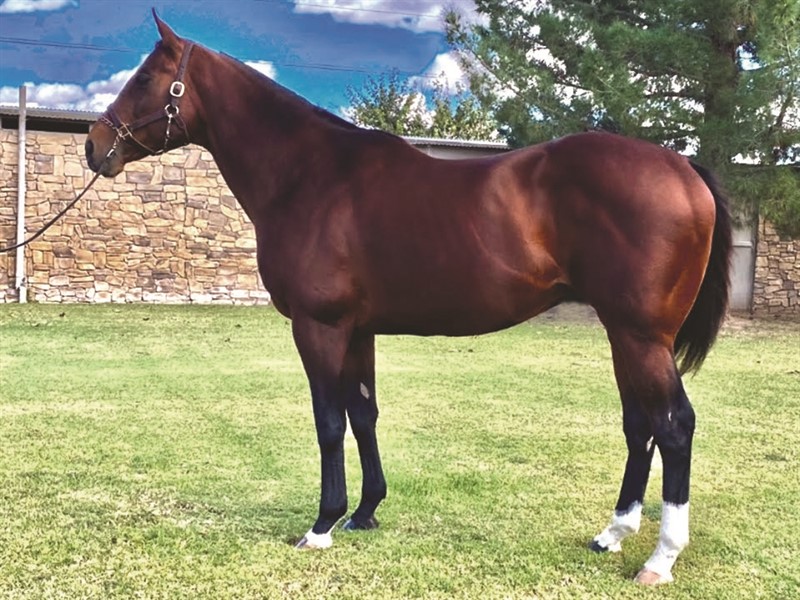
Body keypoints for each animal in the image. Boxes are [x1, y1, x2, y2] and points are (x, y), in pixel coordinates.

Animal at [85, 12, 732, 586]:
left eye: (146, 77)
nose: (94, 145)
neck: (310, 176)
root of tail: (685, 169)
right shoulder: (357, 330)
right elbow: (363, 413)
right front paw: (365, 512)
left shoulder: (319, 327)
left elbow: (329, 421)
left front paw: (321, 524)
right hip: (626, 335)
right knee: (640, 425)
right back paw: (611, 534)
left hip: (641, 336)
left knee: (674, 426)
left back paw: (659, 559)